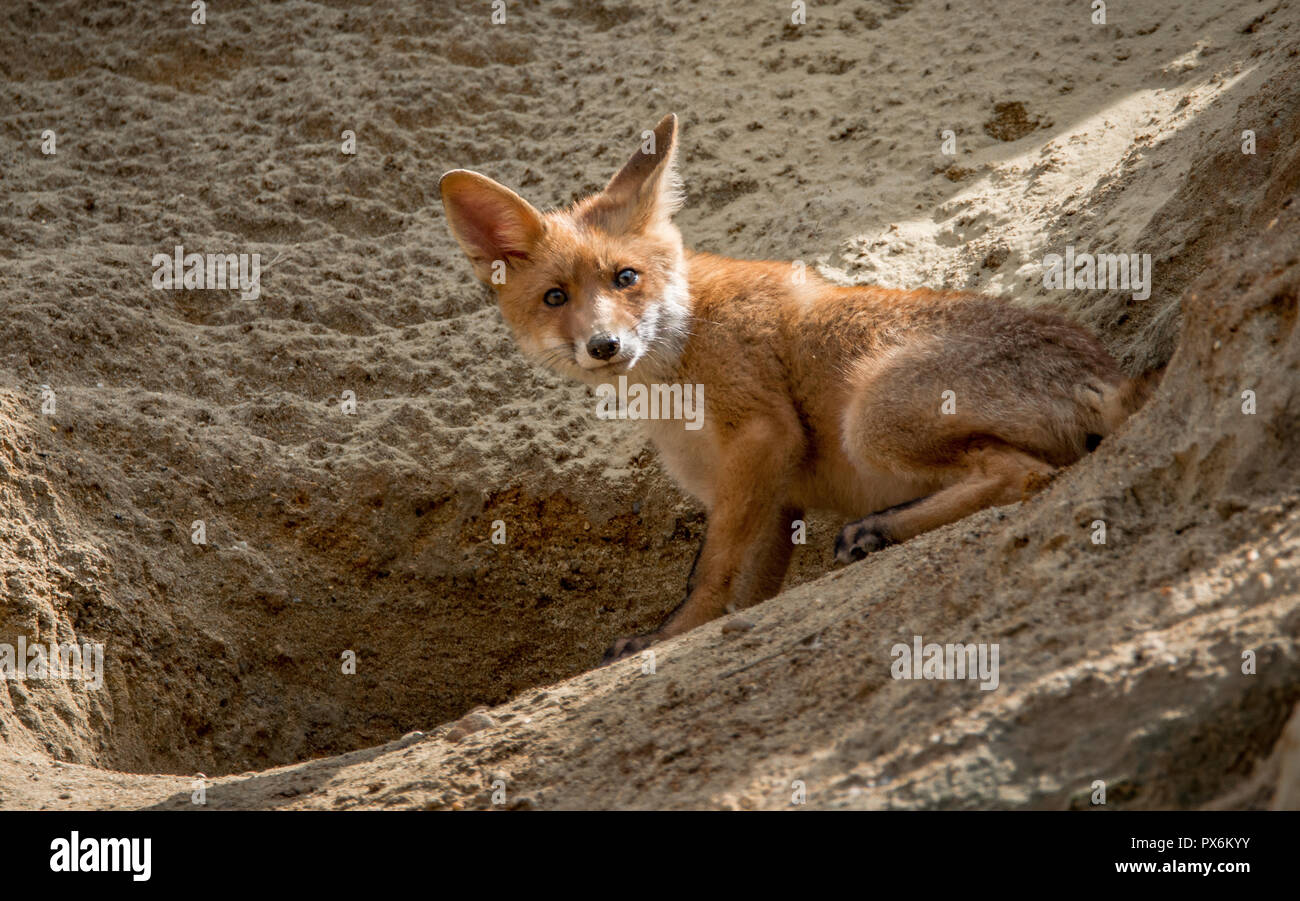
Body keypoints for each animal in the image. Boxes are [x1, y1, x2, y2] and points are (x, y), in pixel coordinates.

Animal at [440, 114, 1157, 663]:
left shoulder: (764, 435)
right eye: (555, 298)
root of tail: (1104, 368)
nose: (605, 346)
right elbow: (745, 589)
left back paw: (882, 528)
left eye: (625, 278)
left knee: (1025, 474)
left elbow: (708, 574)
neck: (683, 356)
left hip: (870, 419)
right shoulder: (773, 495)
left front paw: (666, 638)